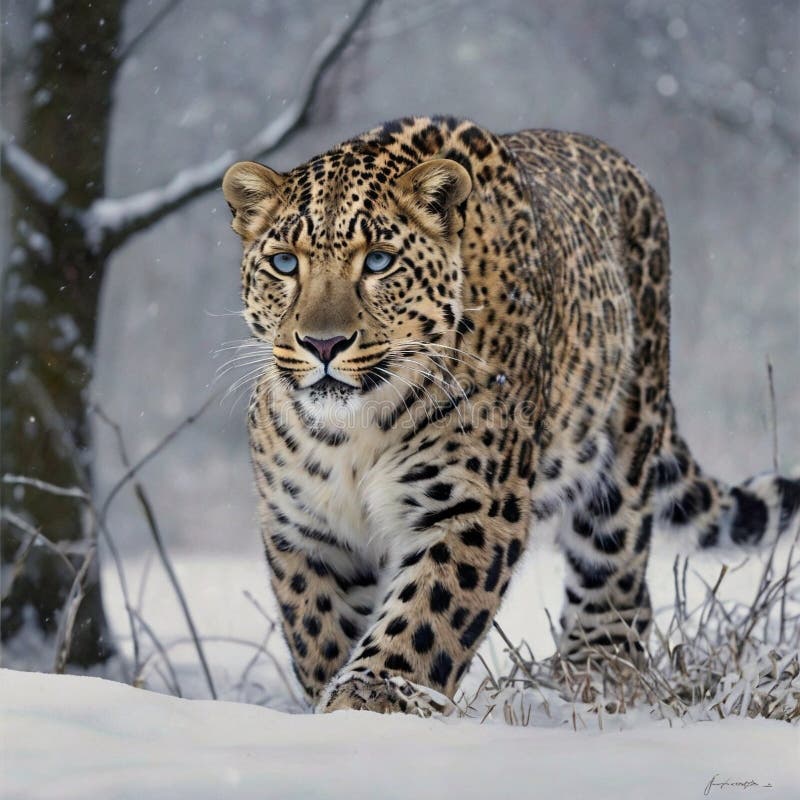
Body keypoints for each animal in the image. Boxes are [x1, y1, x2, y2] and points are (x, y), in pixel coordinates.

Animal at [221, 116, 800, 716]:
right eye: (285, 263)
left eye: (378, 261)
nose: (323, 343)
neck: (354, 431)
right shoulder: (304, 524)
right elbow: (319, 626)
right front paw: (333, 703)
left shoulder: (474, 506)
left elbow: (426, 617)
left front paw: (375, 698)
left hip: (624, 447)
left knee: (616, 578)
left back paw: (592, 680)